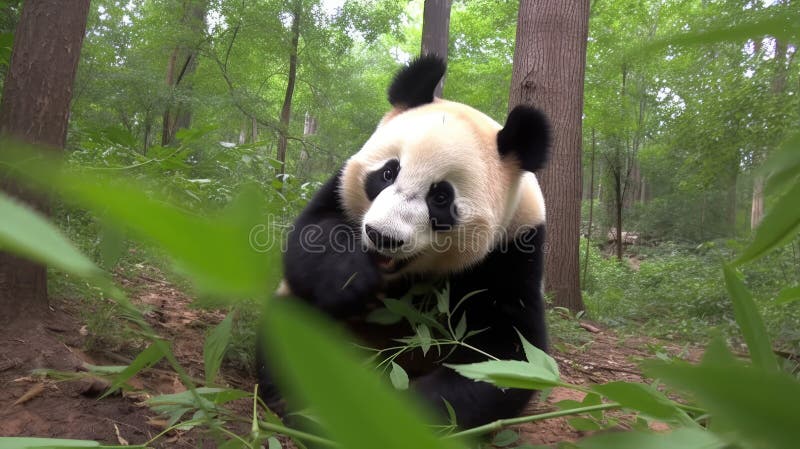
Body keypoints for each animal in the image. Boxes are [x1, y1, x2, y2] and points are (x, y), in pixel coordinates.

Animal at [258, 55, 550, 430]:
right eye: (387, 173)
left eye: (440, 197)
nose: (382, 236)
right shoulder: (340, 188)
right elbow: (308, 239)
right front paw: (351, 278)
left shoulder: (514, 246)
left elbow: (507, 354)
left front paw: (388, 417)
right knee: (294, 327)